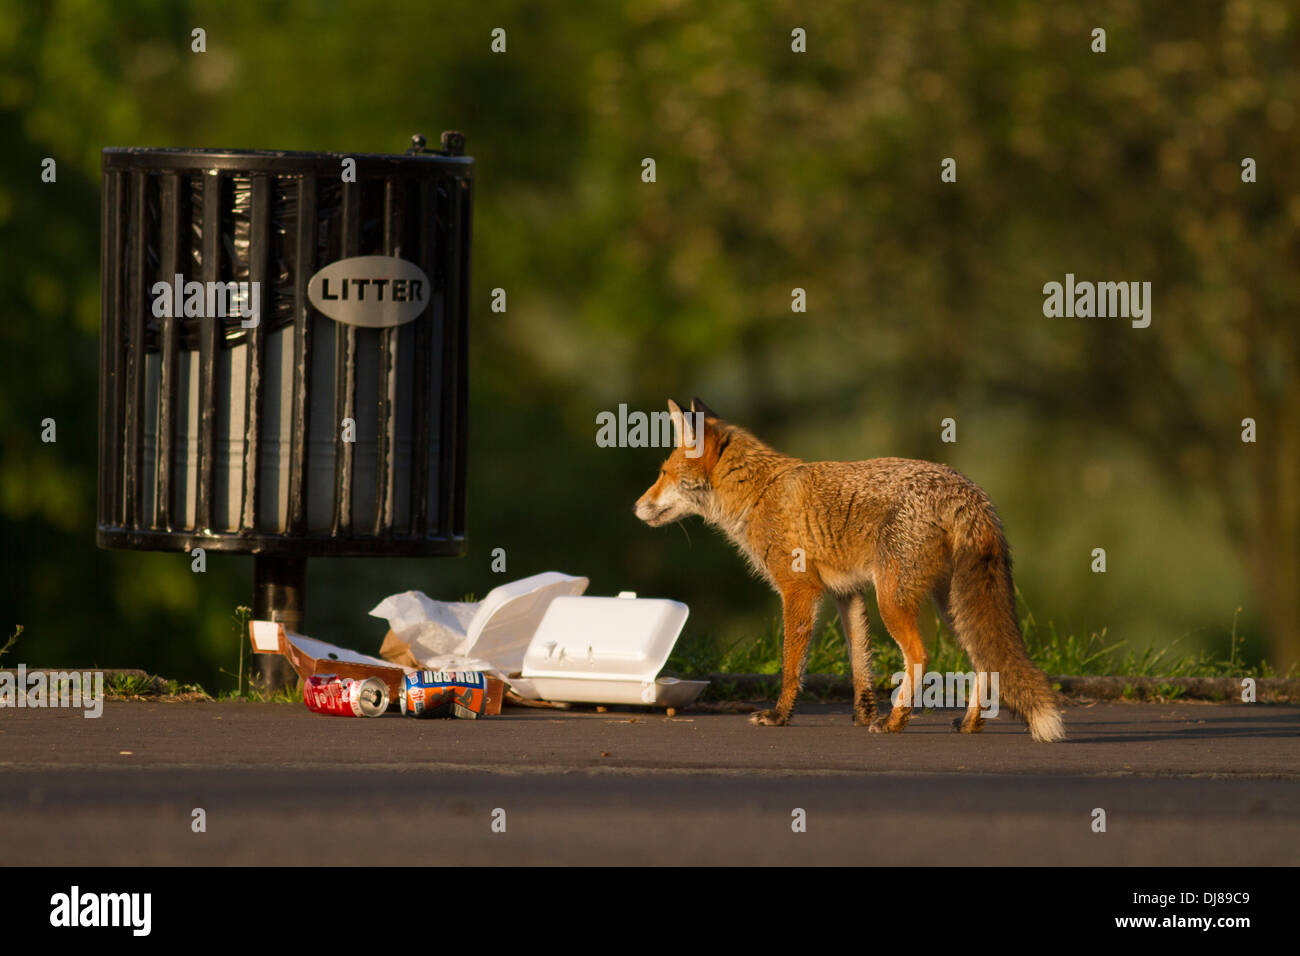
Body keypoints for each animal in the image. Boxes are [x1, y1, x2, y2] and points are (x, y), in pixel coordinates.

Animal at [634, 398, 1064, 742]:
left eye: (663, 473)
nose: (636, 507)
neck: (757, 493)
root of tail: (968, 491)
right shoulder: (848, 593)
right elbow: (860, 664)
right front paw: (862, 714)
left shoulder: (799, 590)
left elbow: (792, 667)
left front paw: (780, 715)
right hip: (951, 606)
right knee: (984, 661)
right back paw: (969, 723)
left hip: (894, 599)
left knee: (921, 657)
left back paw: (896, 722)